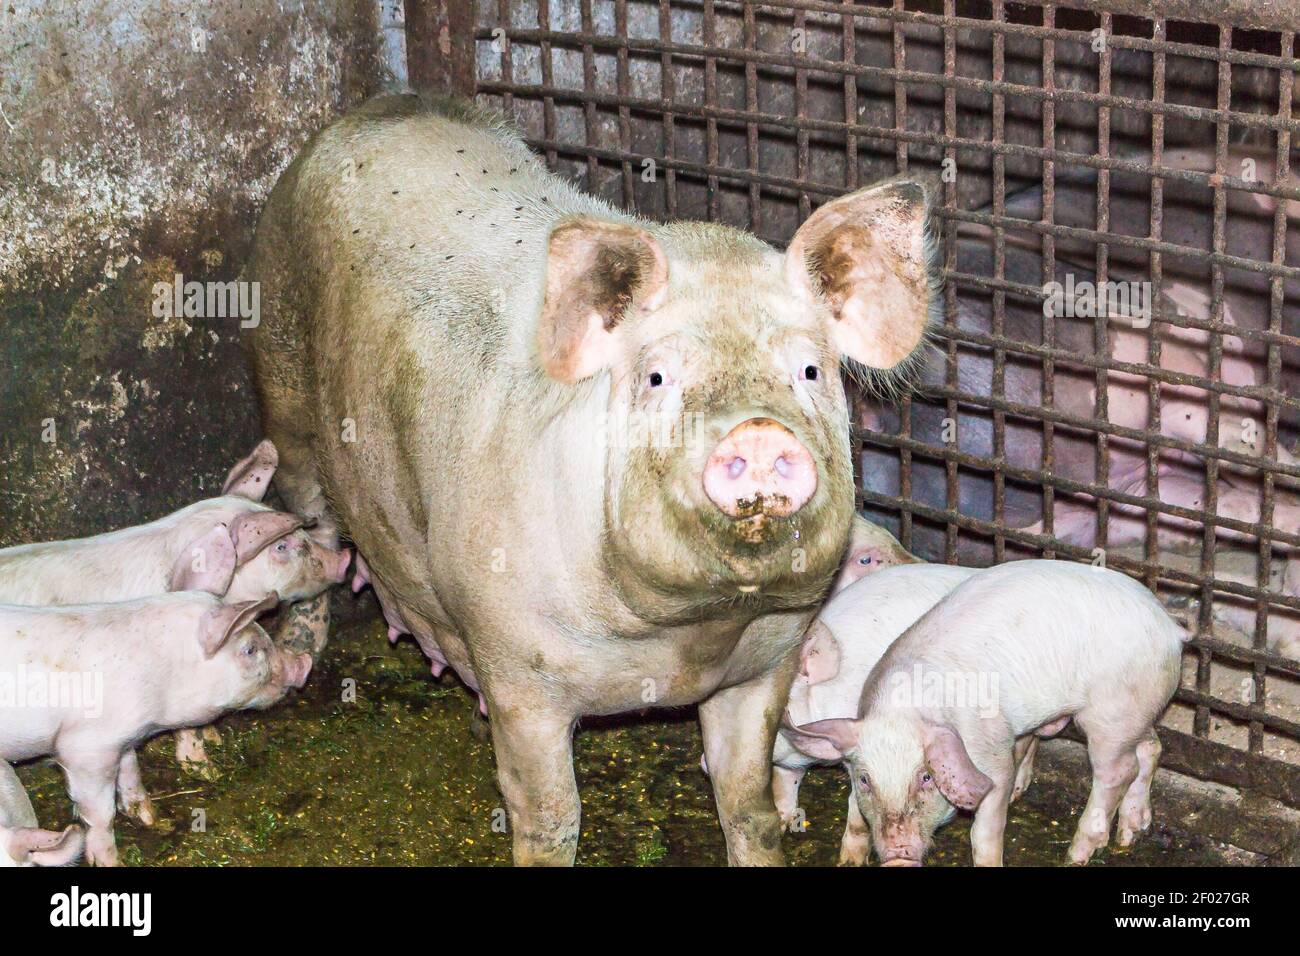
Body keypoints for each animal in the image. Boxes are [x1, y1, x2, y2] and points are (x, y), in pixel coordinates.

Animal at [0, 592, 312, 866]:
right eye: (250, 649)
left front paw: (151, 817)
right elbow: (100, 812)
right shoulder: (86, 749)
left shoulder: (124, 738)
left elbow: (131, 770)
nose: (304, 662)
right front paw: (112, 862)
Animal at [244, 93, 939, 864]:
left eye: (810, 370)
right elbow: (550, 815)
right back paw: (298, 660)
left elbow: (746, 802)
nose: (758, 432)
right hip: (283, 380)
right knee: (311, 525)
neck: (682, 637)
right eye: (657, 377)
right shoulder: (514, 664)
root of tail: (376, 105)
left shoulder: (770, 658)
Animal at [784, 560, 1187, 866]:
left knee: (1118, 770)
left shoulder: (991, 751)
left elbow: (984, 829)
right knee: (1151, 747)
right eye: (866, 779)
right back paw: (1130, 833)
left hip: (1111, 711)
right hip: (1136, 710)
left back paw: (1077, 855)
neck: (905, 708)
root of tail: (1170, 627)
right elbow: (856, 814)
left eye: (926, 777)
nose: (899, 852)